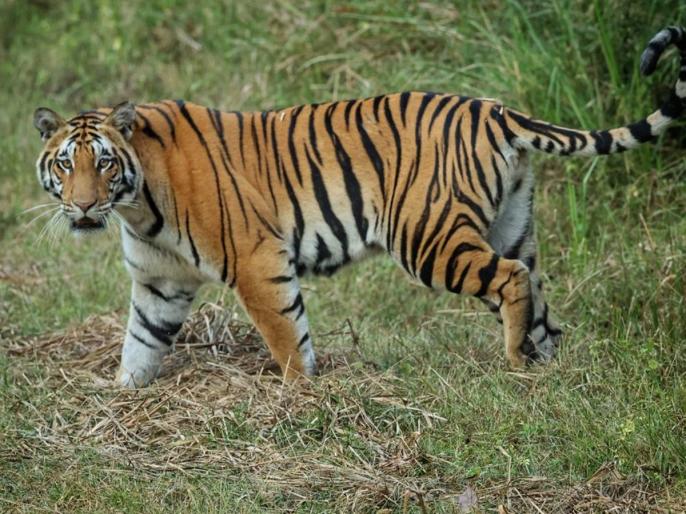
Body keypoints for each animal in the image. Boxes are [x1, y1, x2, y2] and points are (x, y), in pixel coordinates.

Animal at [31, 27, 685, 388]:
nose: (84, 207)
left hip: (429, 239)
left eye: (104, 164)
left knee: (511, 280)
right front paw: (121, 396)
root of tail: (494, 108)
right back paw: (546, 370)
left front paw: (301, 396)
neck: (137, 206)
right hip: (510, 227)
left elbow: (287, 336)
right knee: (543, 304)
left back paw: (513, 364)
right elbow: (139, 345)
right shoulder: (159, 284)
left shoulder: (257, 261)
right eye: (66, 165)